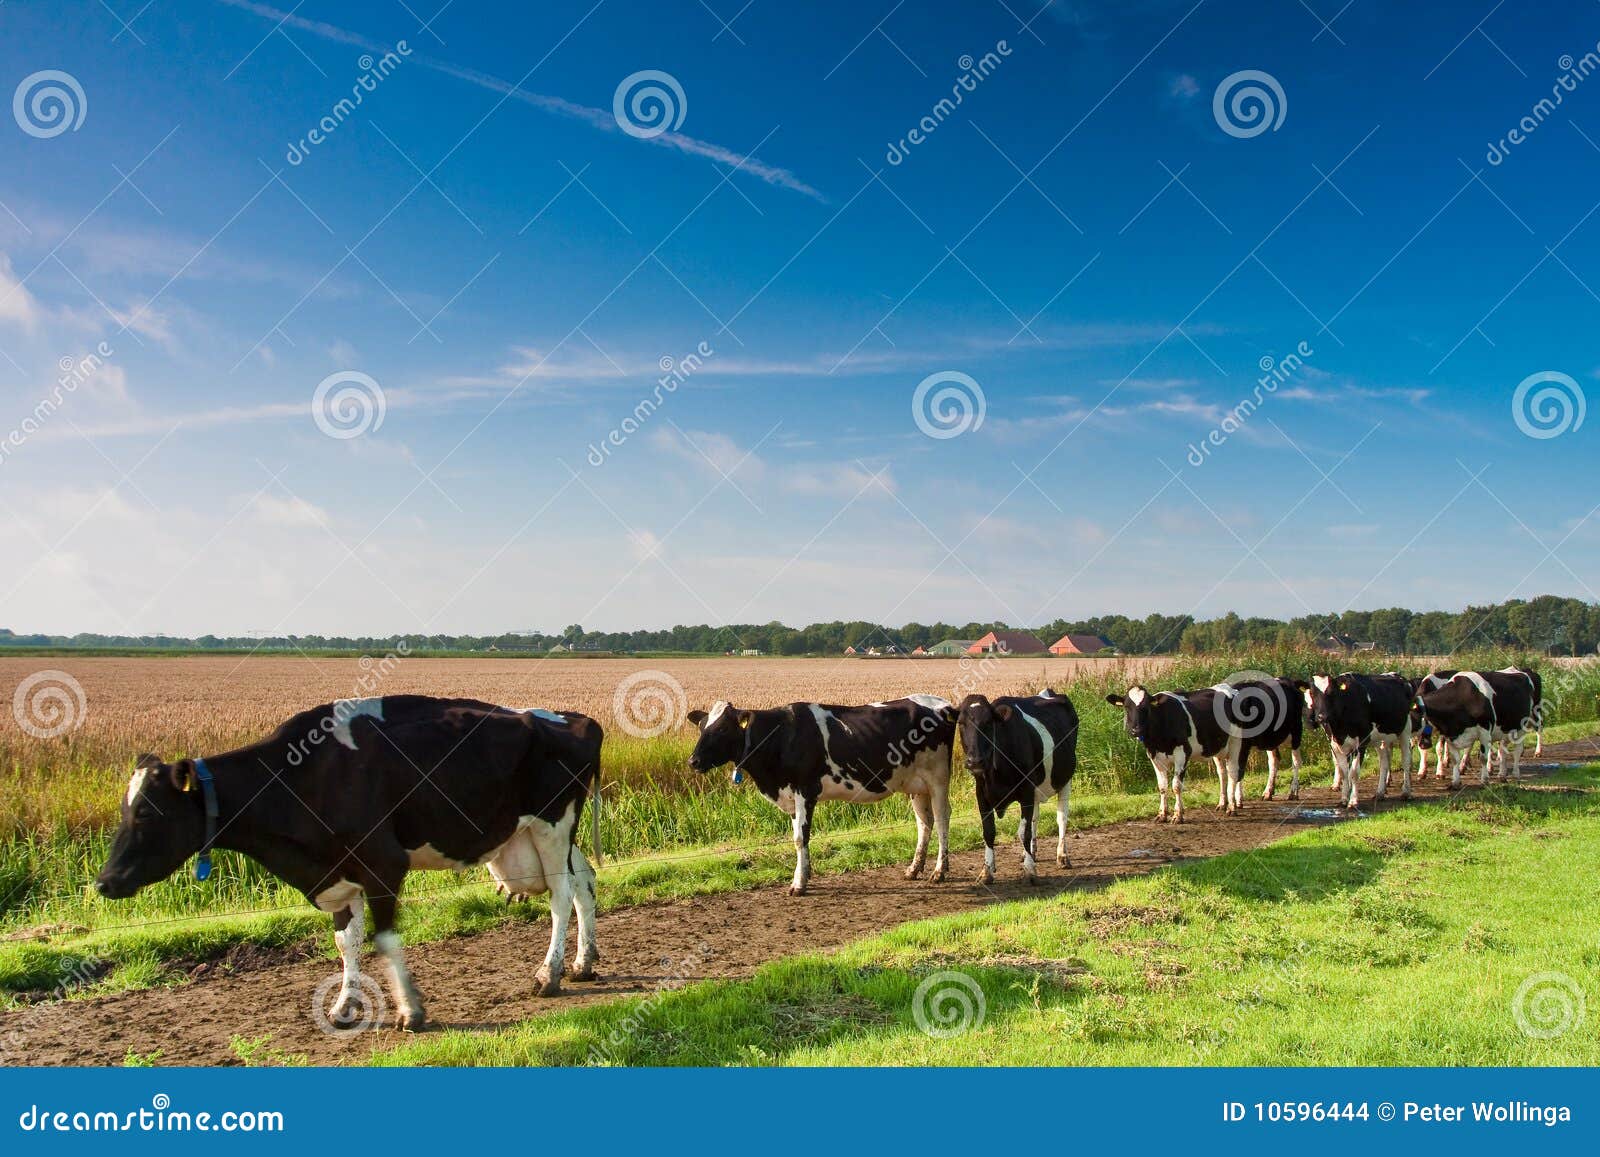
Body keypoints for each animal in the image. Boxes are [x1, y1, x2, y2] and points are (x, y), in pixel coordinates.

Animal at [95, 695, 603, 1030]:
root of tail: (576, 719)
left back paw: (550, 973)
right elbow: (346, 941)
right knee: (584, 883)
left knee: (560, 896)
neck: (301, 775)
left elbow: (384, 940)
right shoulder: (338, 873)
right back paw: (583, 962)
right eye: (123, 809)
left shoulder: (383, 864)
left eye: (146, 811)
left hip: (551, 825)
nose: (104, 883)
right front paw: (343, 1006)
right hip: (548, 834)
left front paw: (411, 1011)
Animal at [686, 694, 955, 895]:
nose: (693, 761)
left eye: (722, 728)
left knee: (942, 819)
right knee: (924, 822)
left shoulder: (805, 791)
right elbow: (797, 837)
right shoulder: (791, 797)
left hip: (938, 777)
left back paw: (939, 872)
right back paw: (914, 869)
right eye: (701, 727)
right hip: (915, 785)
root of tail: (943, 704)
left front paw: (799, 884)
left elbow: (800, 838)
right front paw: (804, 874)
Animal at [956, 689, 1079, 885]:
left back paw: (1062, 856)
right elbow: (989, 831)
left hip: (1065, 779)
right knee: (1035, 818)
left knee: (1061, 818)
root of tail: (1048, 692)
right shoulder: (981, 793)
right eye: (961, 723)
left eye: (988, 723)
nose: (974, 761)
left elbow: (1024, 832)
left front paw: (1030, 872)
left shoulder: (1027, 791)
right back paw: (1031, 852)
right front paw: (986, 871)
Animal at [1105, 686, 1241, 822]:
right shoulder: (1155, 757)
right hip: (1218, 748)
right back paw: (1222, 804)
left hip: (1236, 743)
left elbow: (1176, 786)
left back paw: (1232, 807)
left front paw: (1177, 815)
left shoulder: (1183, 753)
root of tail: (1229, 688)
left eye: (1146, 707)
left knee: (1233, 773)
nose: (1135, 730)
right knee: (1222, 773)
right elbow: (1162, 787)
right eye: (1126, 707)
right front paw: (1162, 814)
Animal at [1295, 673, 1415, 808]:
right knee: (1384, 761)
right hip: (1380, 739)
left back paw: (1406, 793)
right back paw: (1379, 793)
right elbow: (1344, 772)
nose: (1322, 717)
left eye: (1332, 692)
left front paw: (1353, 801)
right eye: (1312, 693)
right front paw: (1343, 799)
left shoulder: (1361, 742)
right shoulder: (1335, 744)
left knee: (1406, 760)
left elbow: (1354, 773)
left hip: (1405, 730)